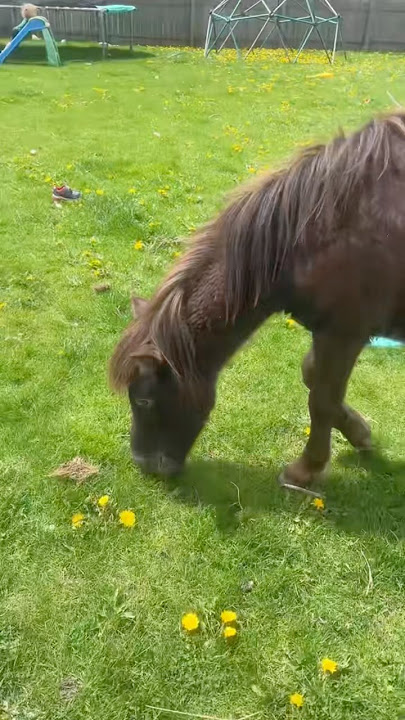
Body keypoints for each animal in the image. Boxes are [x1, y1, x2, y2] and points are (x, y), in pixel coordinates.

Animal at [110, 111, 405, 488]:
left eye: (144, 400)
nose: (144, 465)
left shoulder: (343, 332)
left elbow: (322, 399)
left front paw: (305, 470)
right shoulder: (329, 332)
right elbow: (313, 377)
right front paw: (360, 433)